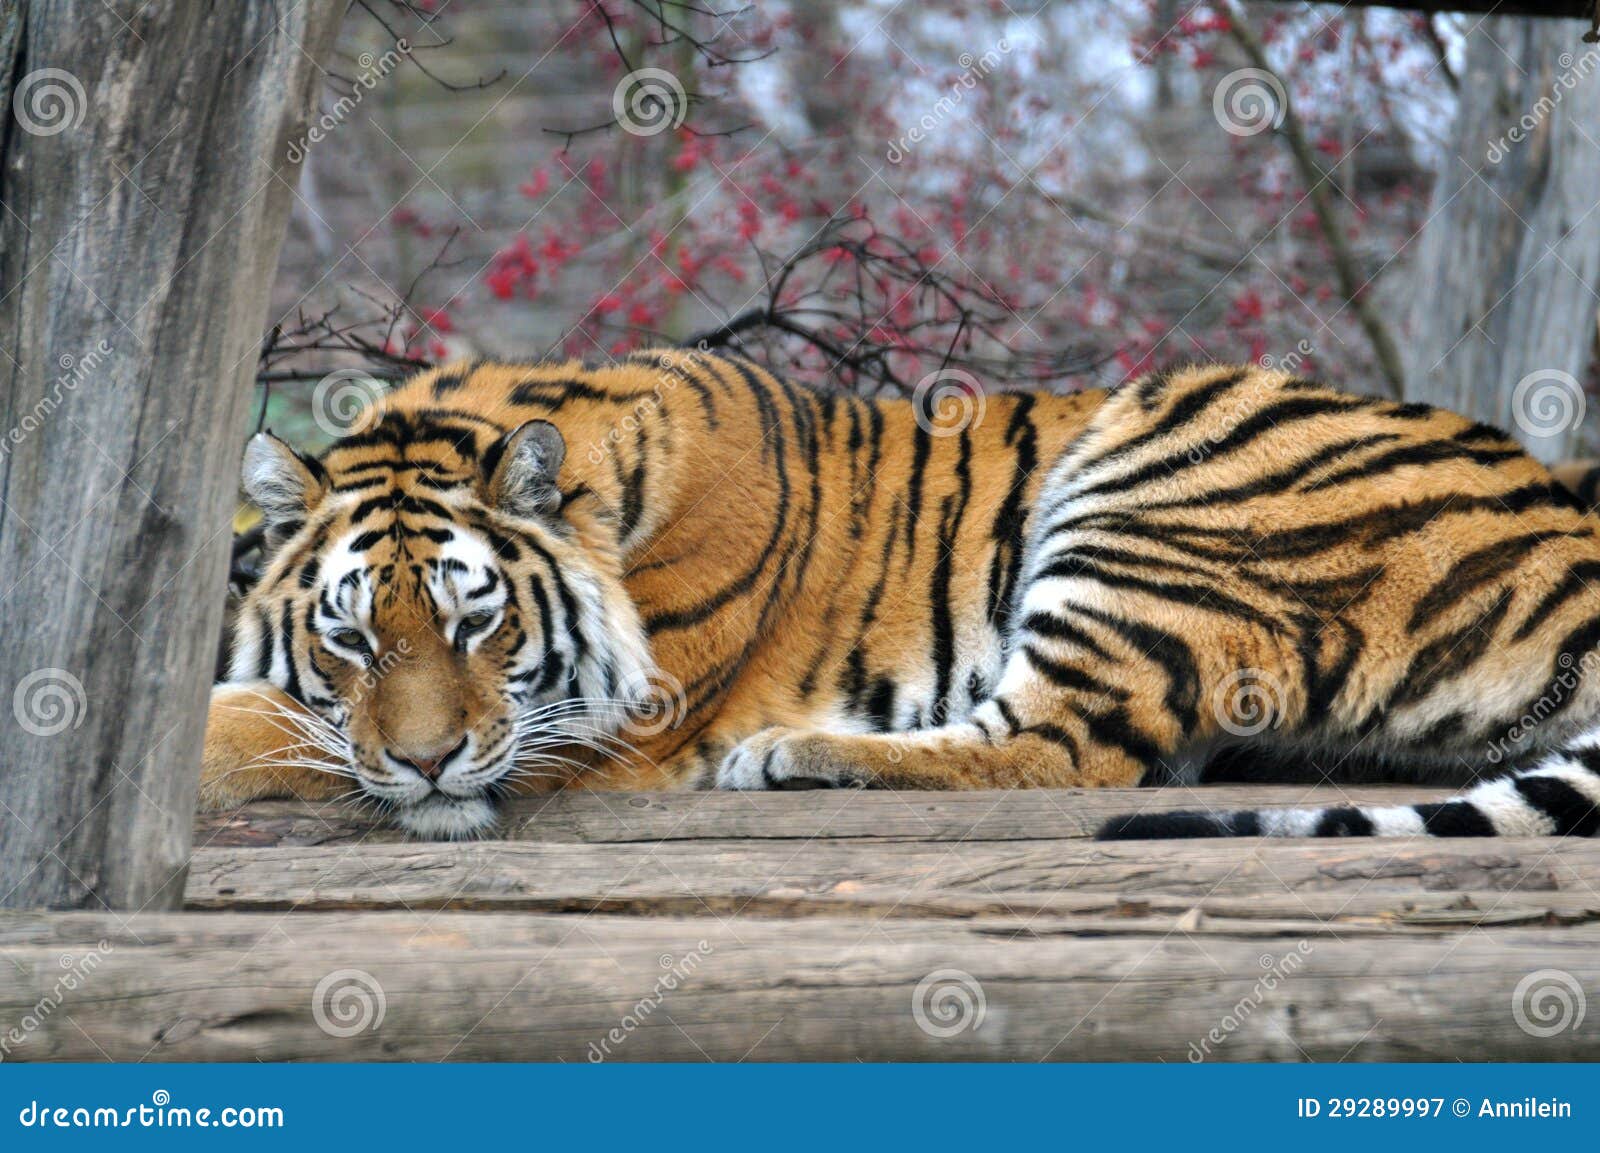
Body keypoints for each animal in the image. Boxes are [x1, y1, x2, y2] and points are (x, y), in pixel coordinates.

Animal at [201, 351, 1600, 841]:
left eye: (477, 620)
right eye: (349, 633)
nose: (430, 764)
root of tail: (1567, 512)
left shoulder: (597, 725)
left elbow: (239, 727)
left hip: (1166, 470)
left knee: (1063, 751)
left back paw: (791, 754)